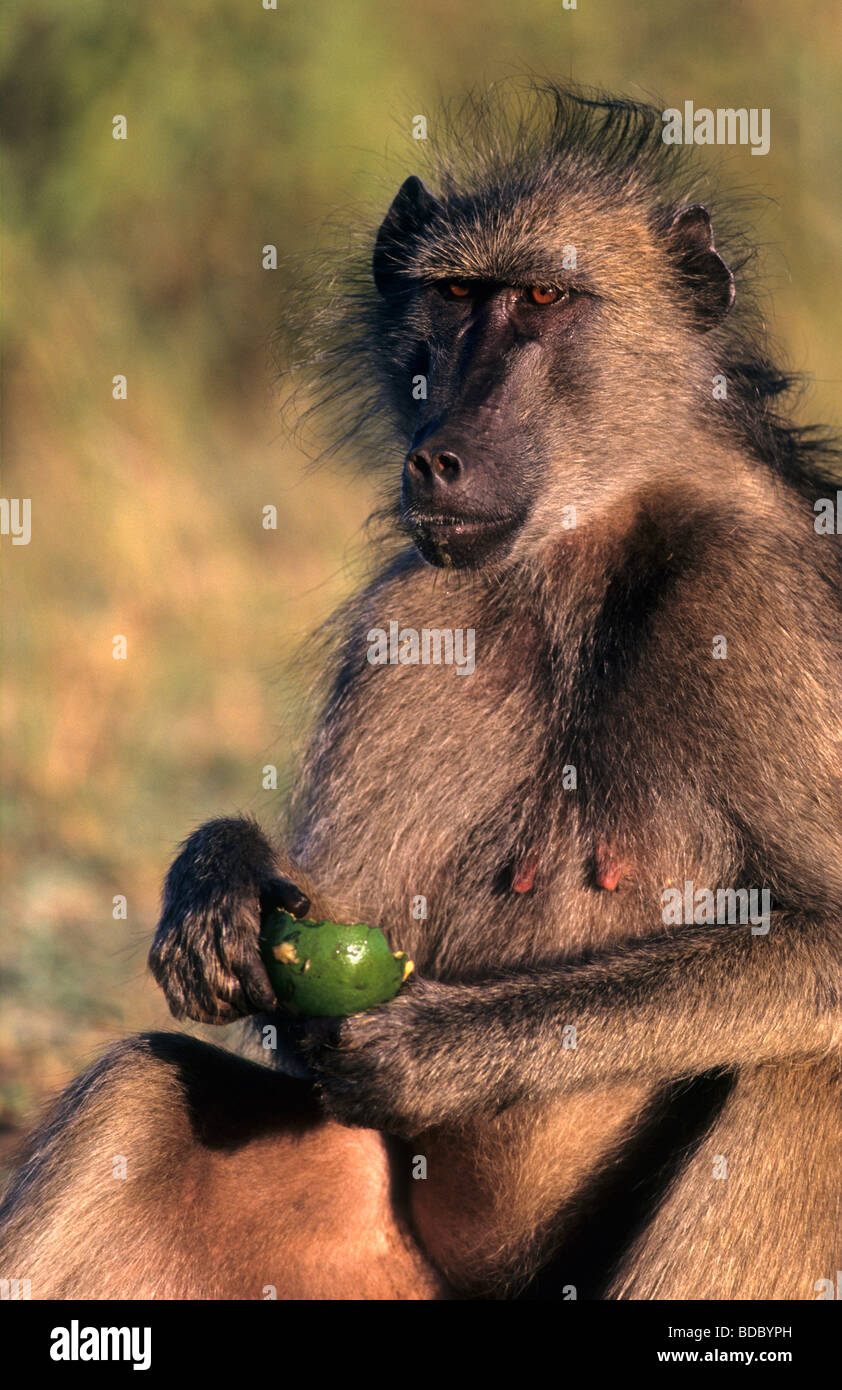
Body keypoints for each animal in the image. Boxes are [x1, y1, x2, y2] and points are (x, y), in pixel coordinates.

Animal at [1, 84, 841, 1302]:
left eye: (543, 297)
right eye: (451, 297)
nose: (438, 457)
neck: (581, 550)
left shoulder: (769, 602)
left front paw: (435, 1050)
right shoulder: (413, 612)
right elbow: (333, 925)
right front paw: (219, 877)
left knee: (805, 1072)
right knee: (141, 1088)